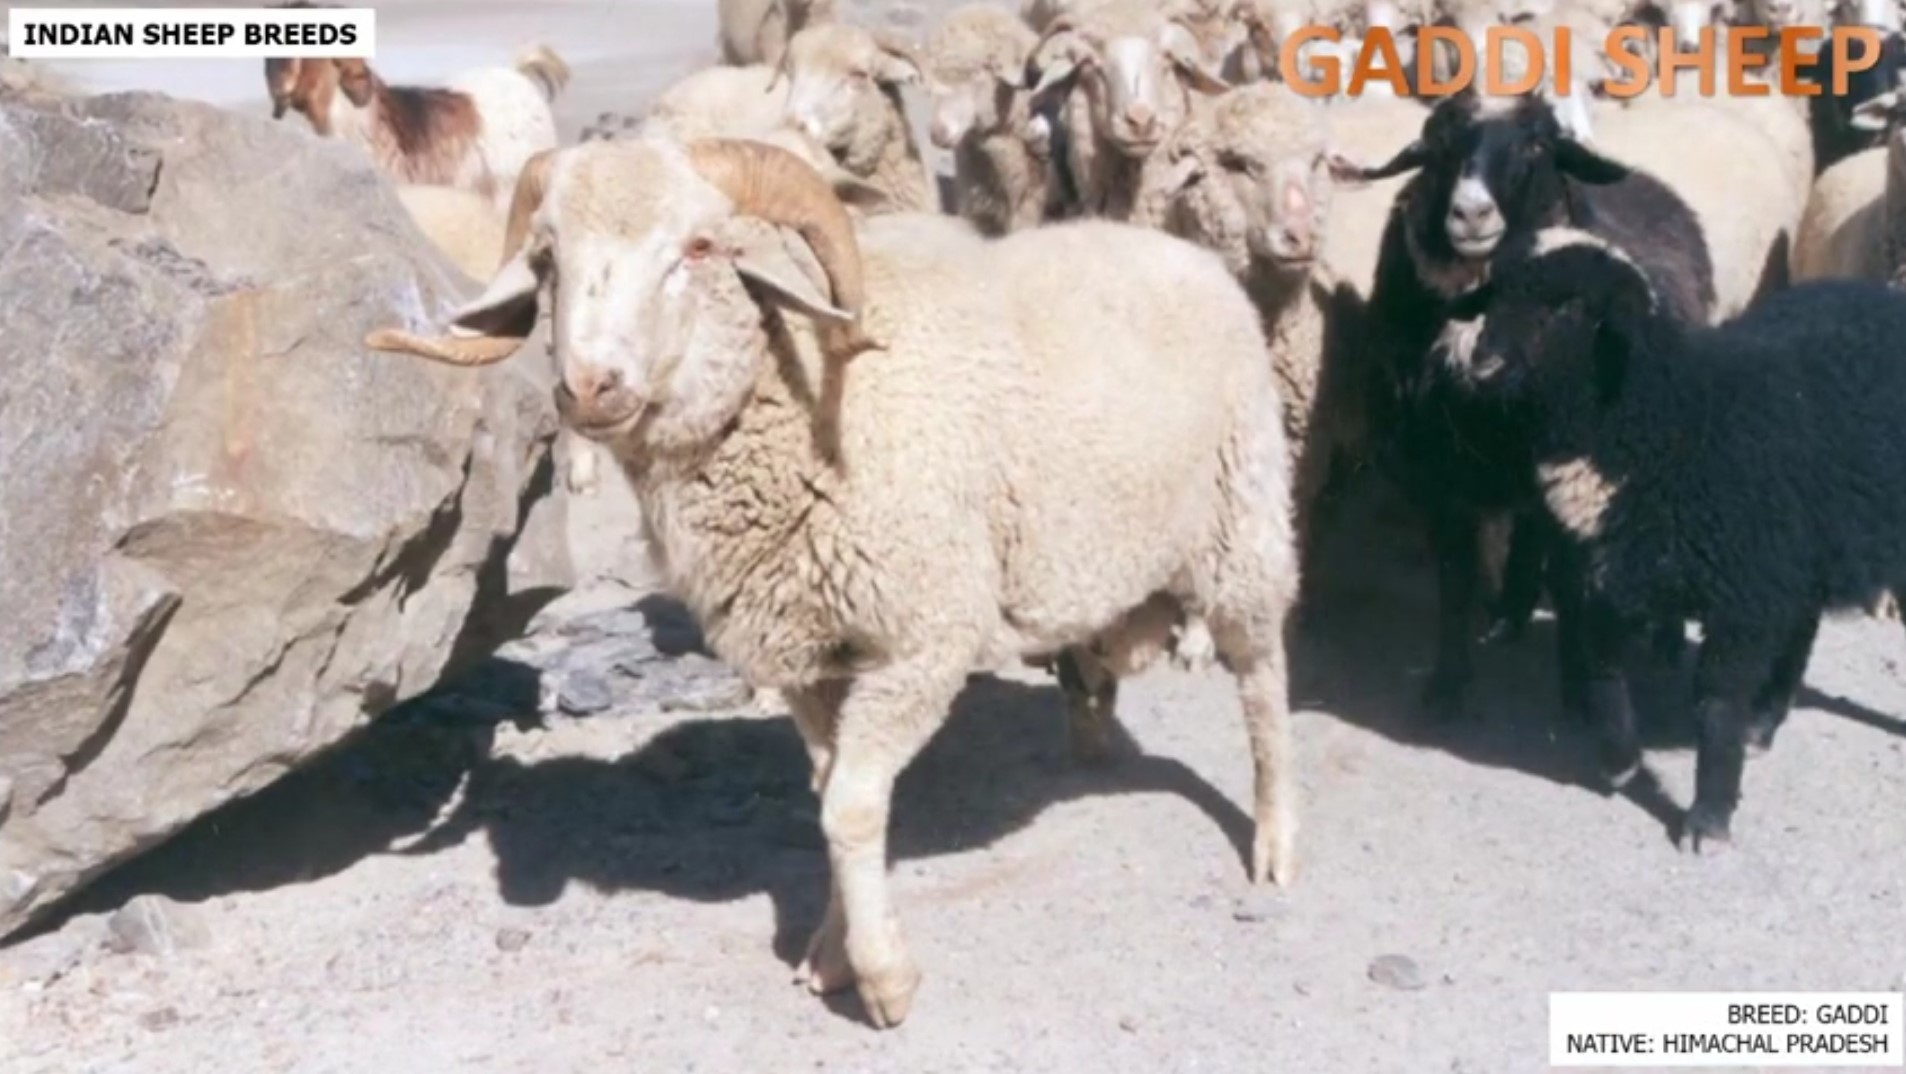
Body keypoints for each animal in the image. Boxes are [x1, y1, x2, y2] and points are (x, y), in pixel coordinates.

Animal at [366, 136, 1301, 1028]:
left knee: (1263, 683)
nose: (591, 385)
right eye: (547, 255)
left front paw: (885, 979)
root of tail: (1182, 252)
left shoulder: (922, 642)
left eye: (700, 246)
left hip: (1243, 522)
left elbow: (849, 804)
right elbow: (825, 796)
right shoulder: (810, 661)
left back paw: (1274, 842)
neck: (805, 390)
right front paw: (830, 950)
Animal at [1339, 90, 1714, 722]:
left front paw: (1580, 692)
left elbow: (1567, 584)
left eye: (1537, 145)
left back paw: (1660, 641)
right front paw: (1447, 684)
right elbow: (1455, 579)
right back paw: (1511, 615)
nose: (1470, 214)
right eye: (1437, 145)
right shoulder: (1439, 475)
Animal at [1443, 225, 1906, 848]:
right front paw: (1620, 761)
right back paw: (1765, 722)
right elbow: (1604, 672)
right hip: (1798, 544)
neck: (1670, 423)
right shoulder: (1599, 581)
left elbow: (1716, 702)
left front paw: (1708, 817)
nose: (1483, 362)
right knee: (1803, 623)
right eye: (1496, 293)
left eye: (1570, 307)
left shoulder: (1741, 594)